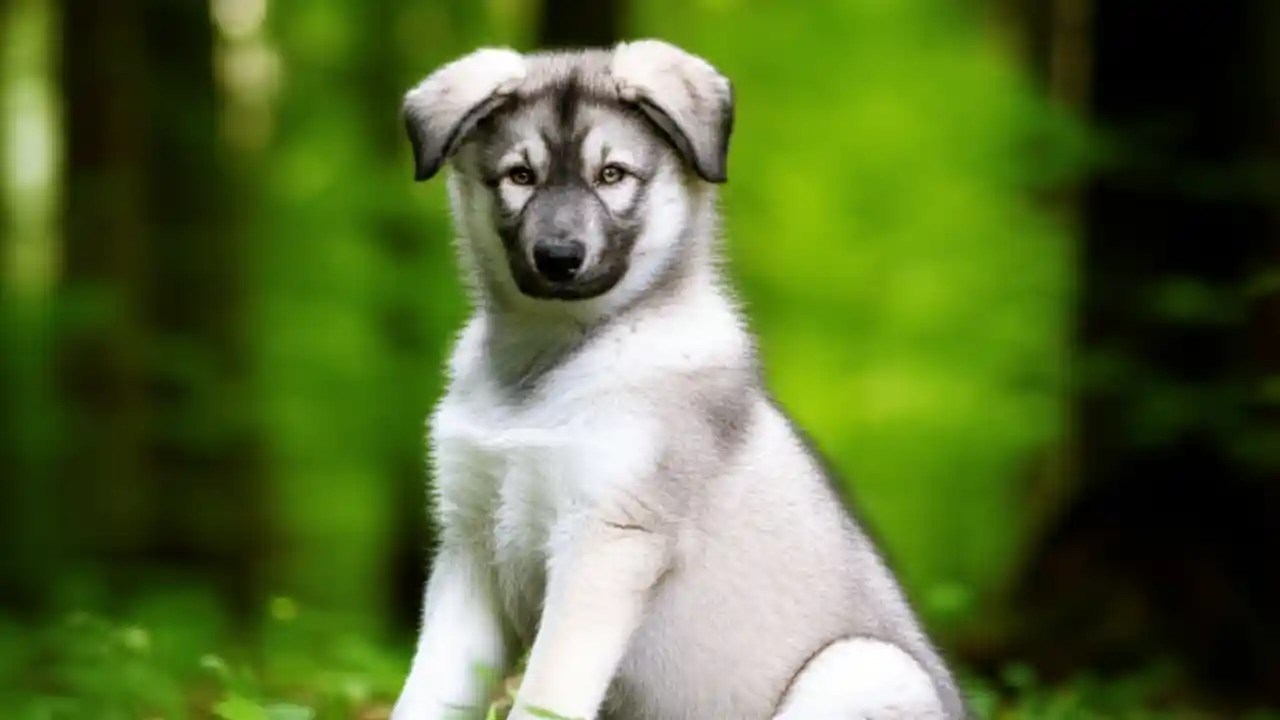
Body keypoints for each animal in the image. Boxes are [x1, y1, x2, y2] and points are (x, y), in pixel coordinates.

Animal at [391, 40, 966, 720]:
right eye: (519, 175)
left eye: (612, 175)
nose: (558, 258)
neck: (544, 365)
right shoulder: (470, 544)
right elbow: (426, 691)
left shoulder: (606, 539)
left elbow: (545, 695)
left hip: (862, 668)